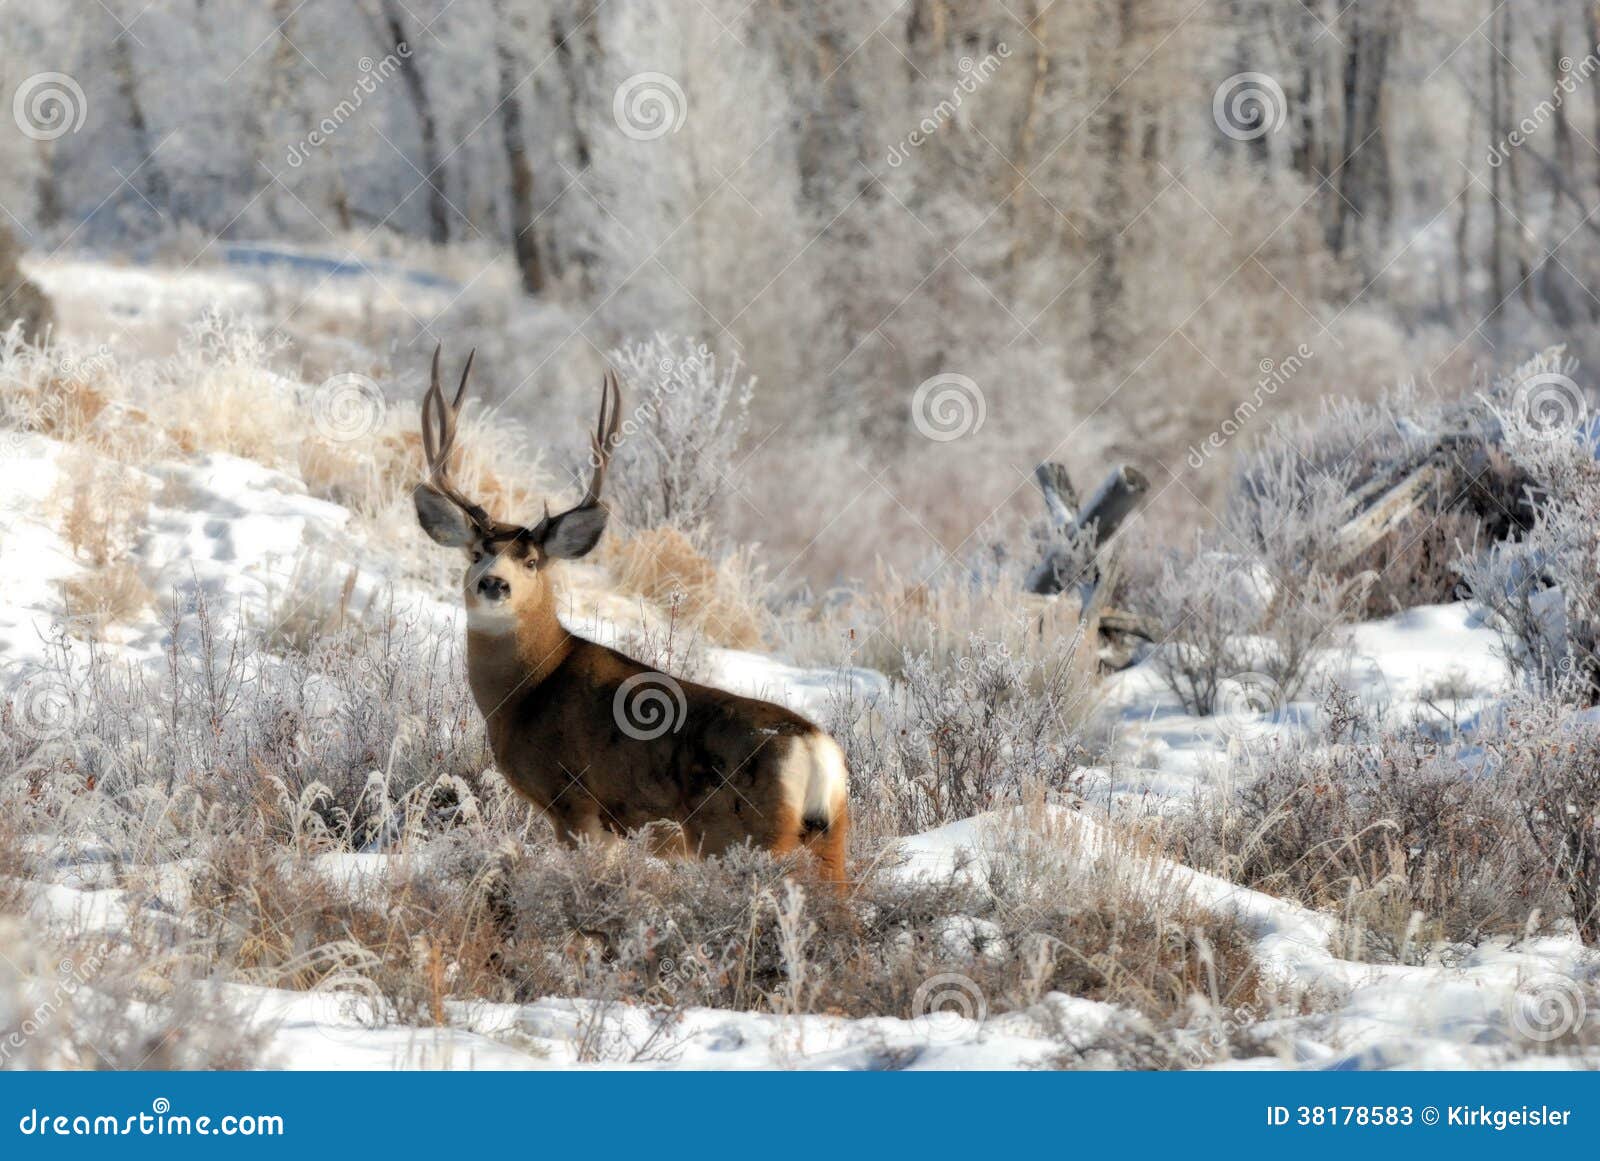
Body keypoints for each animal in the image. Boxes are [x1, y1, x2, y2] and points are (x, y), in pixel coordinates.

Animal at [411, 347, 849, 885]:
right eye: (476, 553)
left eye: (532, 561)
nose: (494, 583)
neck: (528, 689)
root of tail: (814, 749)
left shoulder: (573, 800)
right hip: (829, 839)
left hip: (743, 833)